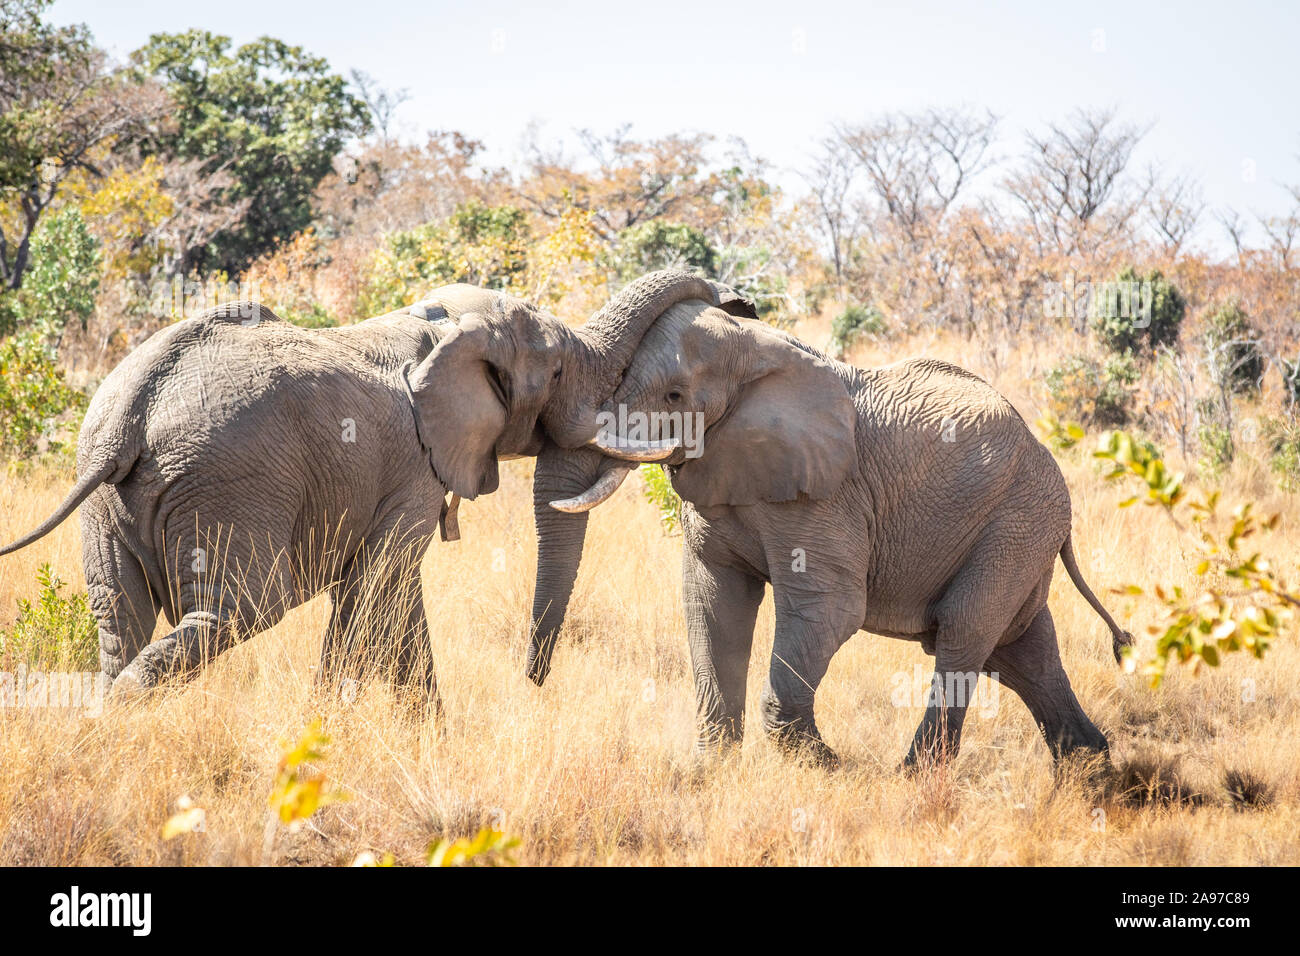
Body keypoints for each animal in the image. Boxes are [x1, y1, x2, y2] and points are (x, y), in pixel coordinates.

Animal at [0, 271, 730, 706]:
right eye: (555, 372)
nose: (533, 686)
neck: (435, 324)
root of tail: (132, 408)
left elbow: (398, 603)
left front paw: (426, 735)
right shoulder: (413, 468)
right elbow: (375, 594)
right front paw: (325, 728)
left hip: (108, 498)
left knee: (117, 614)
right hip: (226, 485)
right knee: (238, 611)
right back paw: (126, 713)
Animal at [526, 291, 1135, 768]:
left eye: (674, 396)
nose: (535, 682)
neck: (757, 353)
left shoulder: (827, 495)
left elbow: (830, 607)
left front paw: (826, 766)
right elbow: (712, 598)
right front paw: (711, 768)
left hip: (1016, 524)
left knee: (965, 632)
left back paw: (910, 780)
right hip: (1018, 531)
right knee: (1019, 648)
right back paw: (1088, 772)